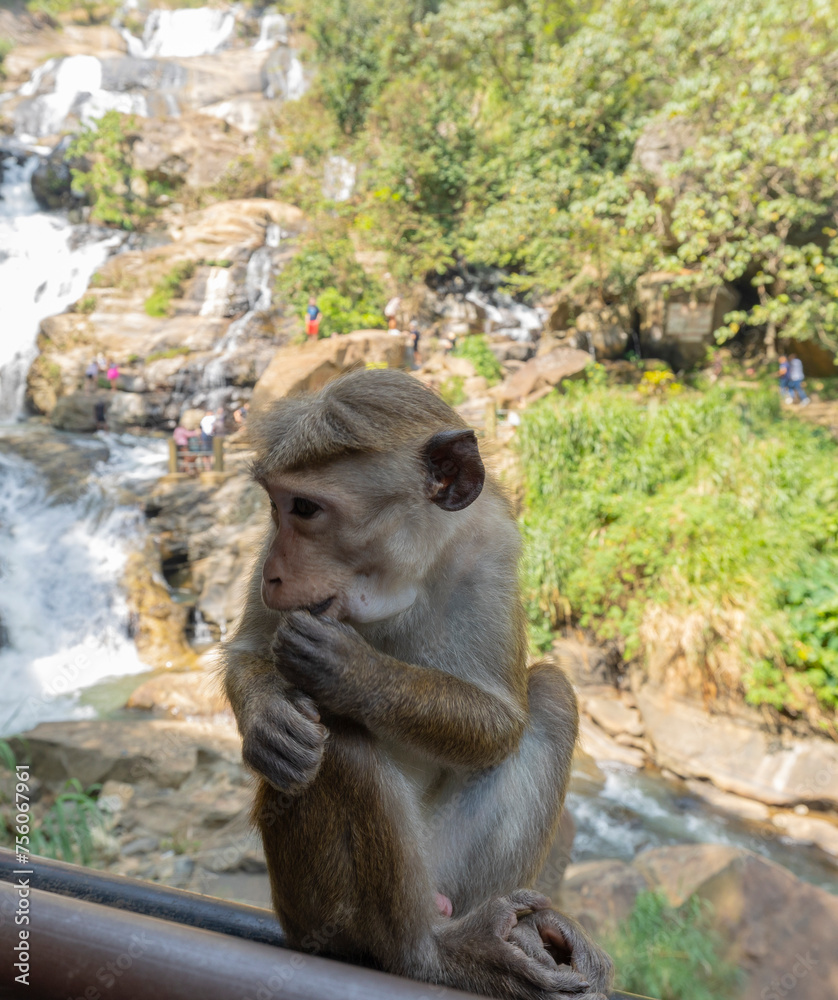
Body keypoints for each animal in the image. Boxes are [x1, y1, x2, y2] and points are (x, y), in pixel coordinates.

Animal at [223, 368, 614, 1000]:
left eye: (305, 508)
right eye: (275, 507)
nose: (271, 575)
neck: (399, 583)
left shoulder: (492, 548)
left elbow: (503, 721)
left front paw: (352, 671)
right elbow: (250, 653)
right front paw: (268, 726)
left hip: (448, 868)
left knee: (552, 697)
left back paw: (473, 941)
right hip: (310, 912)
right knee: (342, 747)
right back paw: (422, 950)